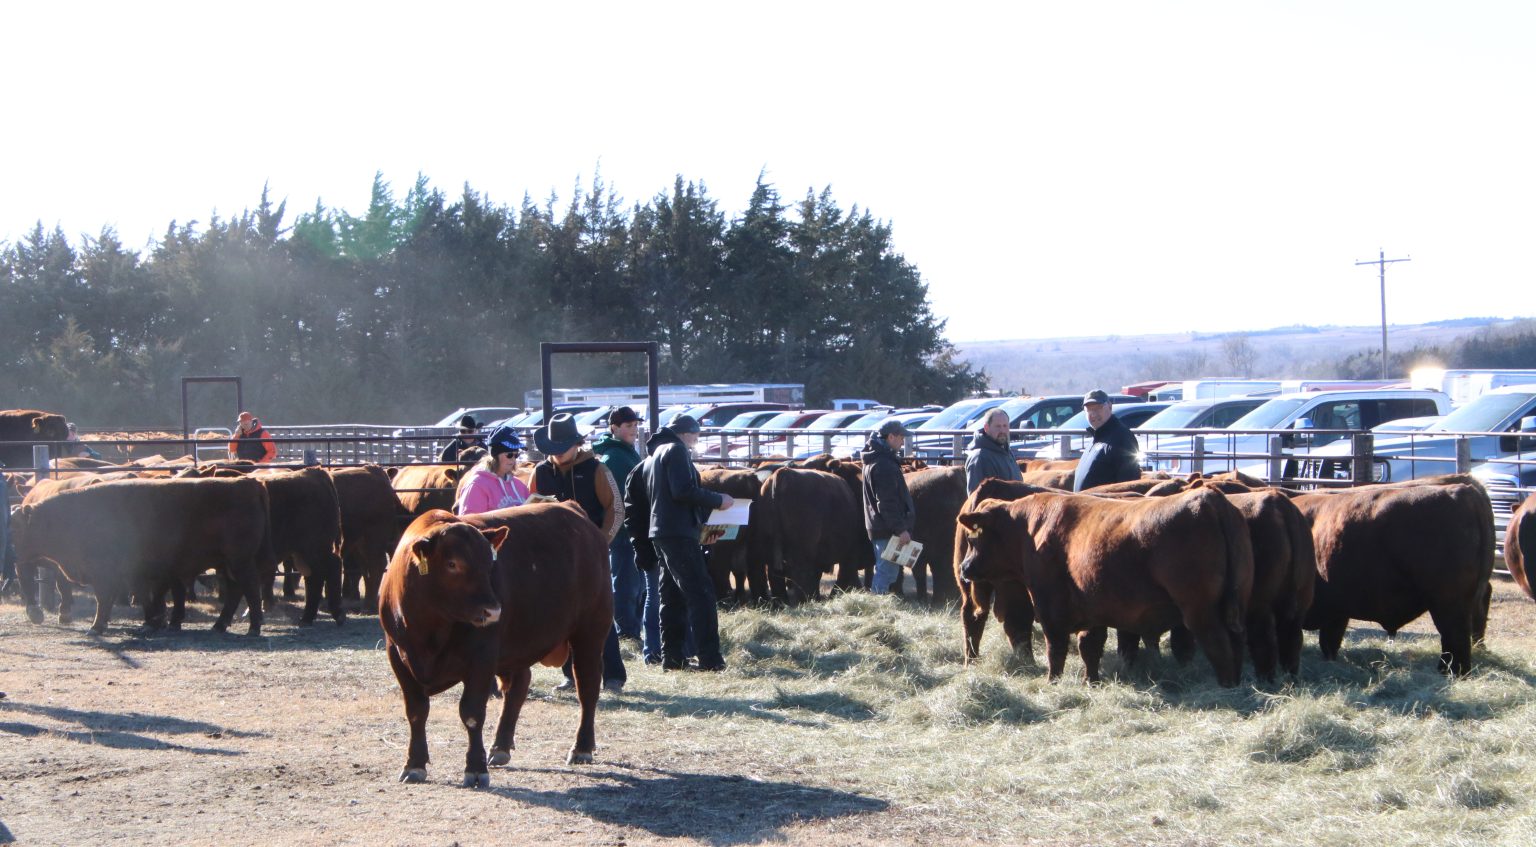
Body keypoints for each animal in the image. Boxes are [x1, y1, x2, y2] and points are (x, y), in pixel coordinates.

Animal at [11, 477, 274, 634]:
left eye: (17, 528)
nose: (13, 557)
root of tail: (247, 482)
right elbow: (138, 595)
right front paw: (153, 621)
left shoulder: (105, 573)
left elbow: (105, 598)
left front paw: (96, 626)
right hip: (228, 563)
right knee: (236, 590)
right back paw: (219, 625)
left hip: (239, 561)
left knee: (249, 587)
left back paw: (253, 627)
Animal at [381, 502, 610, 788]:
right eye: (452, 563)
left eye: (490, 563)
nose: (493, 611)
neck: (429, 626)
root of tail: (572, 508)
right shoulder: (398, 656)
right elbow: (416, 711)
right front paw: (414, 764)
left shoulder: (482, 659)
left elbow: (472, 713)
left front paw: (475, 768)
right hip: (518, 647)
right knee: (518, 688)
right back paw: (500, 746)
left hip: (590, 633)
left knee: (587, 688)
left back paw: (582, 748)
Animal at [958, 486, 1253, 686]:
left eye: (973, 539)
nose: (964, 568)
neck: (1030, 529)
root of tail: (1210, 497)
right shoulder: (1094, 608)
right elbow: (1090, 646)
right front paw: (1091, 681)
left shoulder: (1049, 606)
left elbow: (1057, 648)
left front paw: (1053, 681)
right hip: (1233, 607)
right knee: (1236, 643)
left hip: (1200, 612)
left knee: (1219, 645)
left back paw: (1226, 686)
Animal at [1291, 476, 1495, 675]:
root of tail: (1465, 491)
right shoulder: (1337, 612)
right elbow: (1330, 643)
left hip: (1448, 603)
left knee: (1455, 640)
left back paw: (1448, 671)